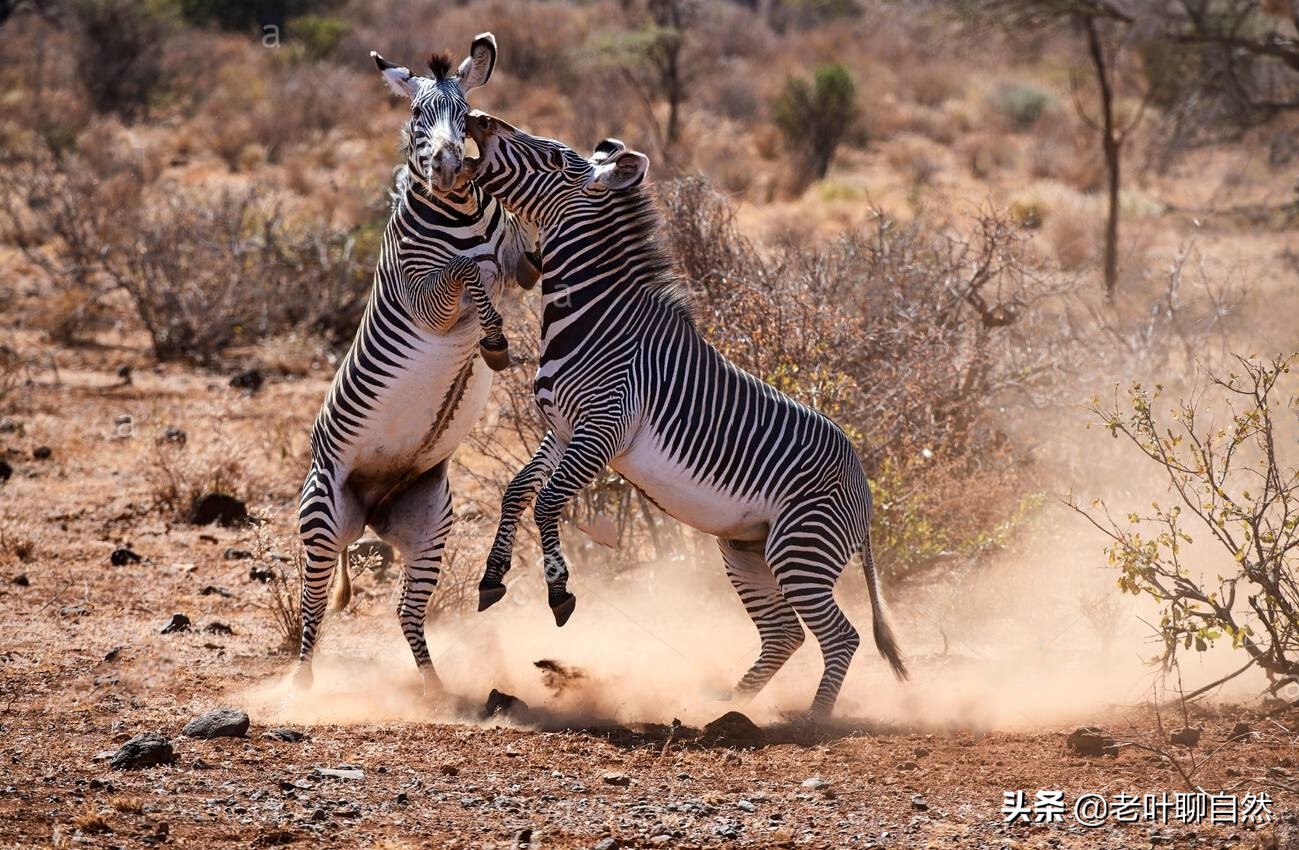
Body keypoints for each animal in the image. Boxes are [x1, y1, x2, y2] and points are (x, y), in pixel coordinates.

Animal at [295, 35, 541, 697]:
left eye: (468, 114)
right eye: (415, 117)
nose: (450, 168)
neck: (460, 213)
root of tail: (371, 510)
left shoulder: (518, 261)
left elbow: (524, 254)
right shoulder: (425, 299)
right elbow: (468, 271)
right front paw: (495, 341)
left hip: (430, 517)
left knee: (406, 609)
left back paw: (435, 688)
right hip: (323, 513)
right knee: (313, 603)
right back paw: (299, 687)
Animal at [465, 113, 907, 719]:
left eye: (553, 158)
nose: (479, 121)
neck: (593, 316)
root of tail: (865, 488)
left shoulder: (604, 429)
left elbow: (549, 501)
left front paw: (559, 592)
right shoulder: (563, 427)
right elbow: (517, 491)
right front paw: (492, 579)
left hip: (800, 545)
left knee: (841, 636)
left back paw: (811, 722)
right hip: (746, 548)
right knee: (785, 634)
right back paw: (725, 704)